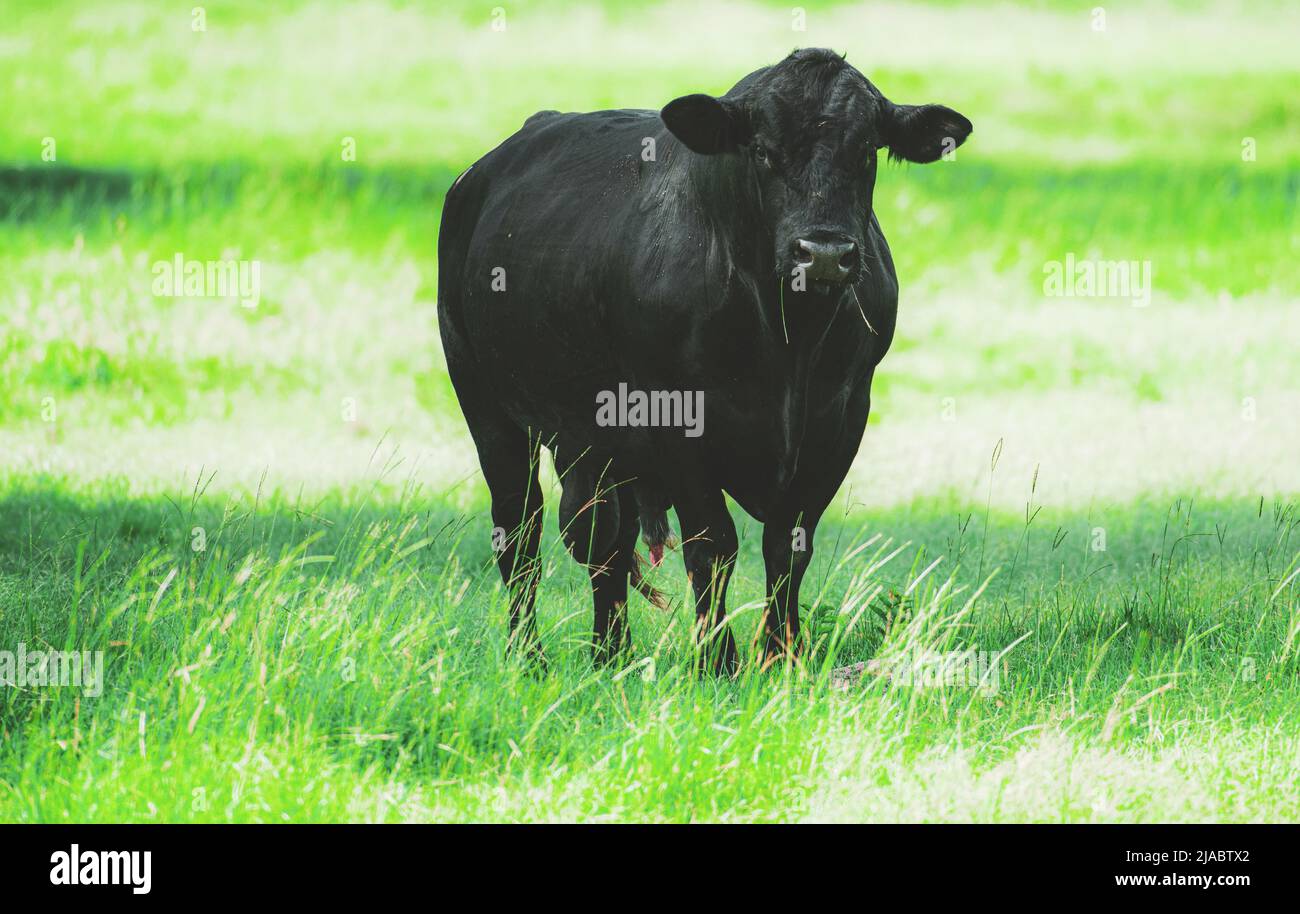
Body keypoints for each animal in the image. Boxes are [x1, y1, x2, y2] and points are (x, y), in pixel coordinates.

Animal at [437, 48, 971, 674]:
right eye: (761, 150)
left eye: (866, 151)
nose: (824, 254)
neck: (787, 341)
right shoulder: (675, 418)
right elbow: (713, 544)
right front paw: (718, 661)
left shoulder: (841, 417)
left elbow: (788, 543)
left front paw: (779, 657)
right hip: (486, 405)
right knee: (521, 531)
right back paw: (530, 657)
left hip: (594, 439)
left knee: (603, 539)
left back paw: (611, 654)